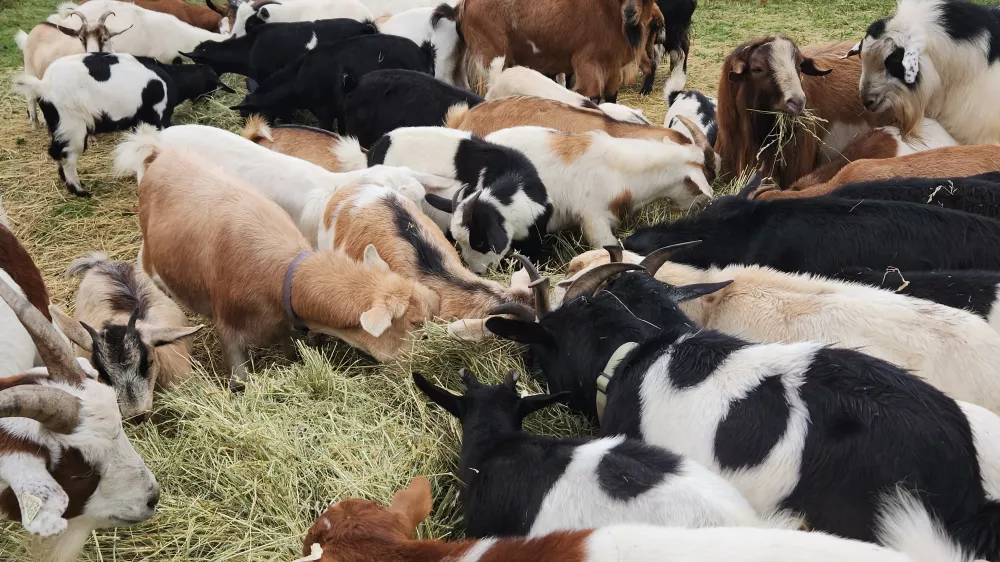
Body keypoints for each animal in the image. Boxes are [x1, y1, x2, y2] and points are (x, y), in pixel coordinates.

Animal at [11, 52, 231, 197]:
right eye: (212, 85)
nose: (207, 101)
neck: (171, 79)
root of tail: (43, 85)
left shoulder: (139, 121)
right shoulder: (159, 117)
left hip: (58, 124)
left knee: (56, 151)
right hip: (71, 124)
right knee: (66, 155)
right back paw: (80, 190)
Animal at [458, 0, 660, 102]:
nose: (629, 12)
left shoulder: (612, 65)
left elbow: (611, 96)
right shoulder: (587, 61)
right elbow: (591, 96)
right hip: (491, 53)